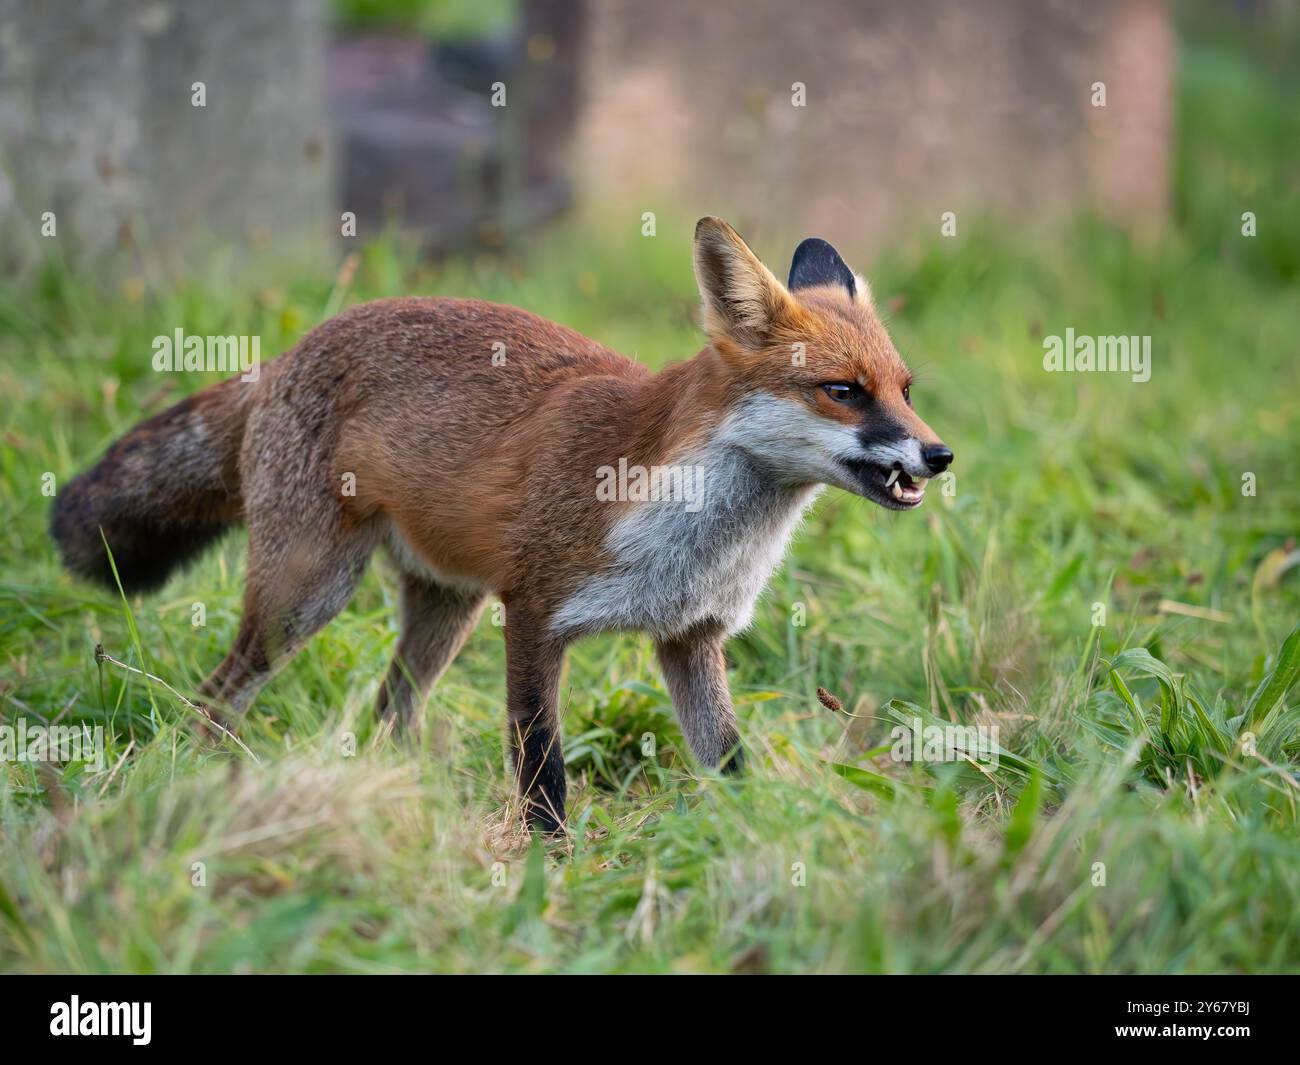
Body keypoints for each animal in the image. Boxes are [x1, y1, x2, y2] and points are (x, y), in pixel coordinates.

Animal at [51, 218, 952, 833]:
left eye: (906, 388)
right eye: (844, 391)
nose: (939, 454)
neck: (693, 530)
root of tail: (287, 352)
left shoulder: (689, 637)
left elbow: (728, 763)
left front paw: (747, 842)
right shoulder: (533, 613)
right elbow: (543, 768)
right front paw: (551, 869)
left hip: (446, 610)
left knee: (388, 711)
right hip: (305, 597)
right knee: (217, 697)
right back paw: (213, 783)